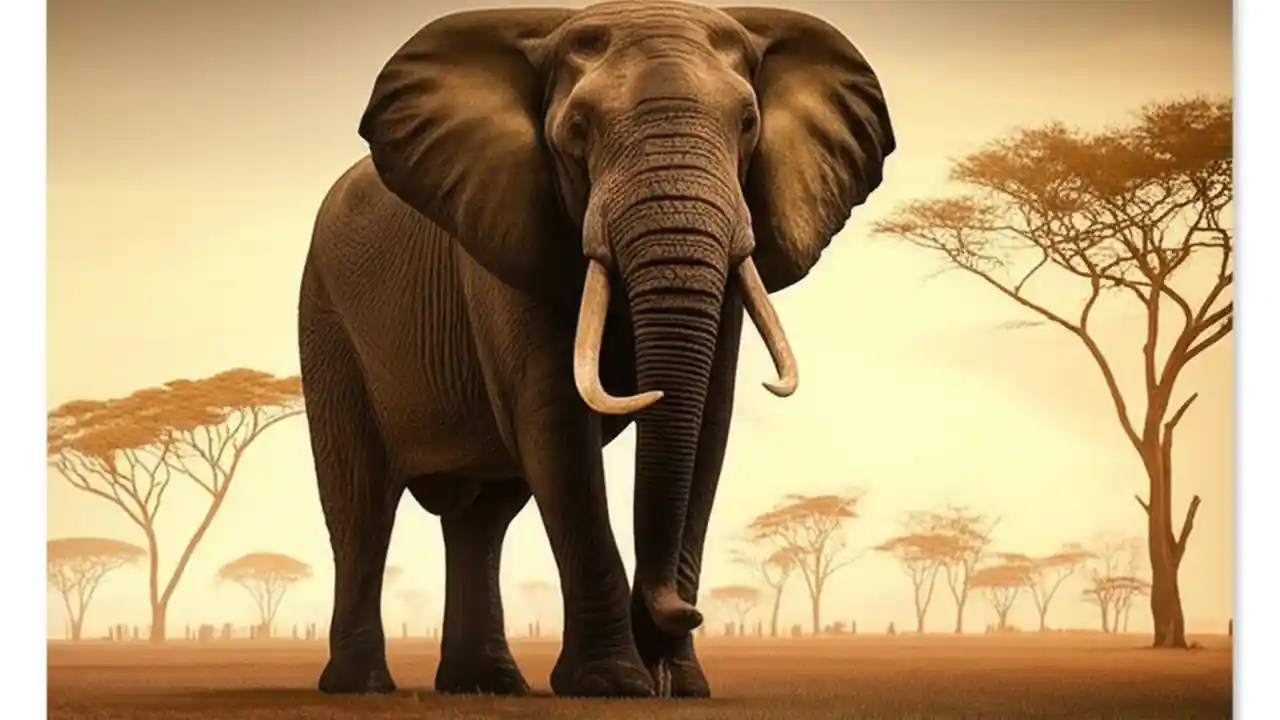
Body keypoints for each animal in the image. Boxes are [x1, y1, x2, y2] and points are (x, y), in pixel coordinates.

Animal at [297, 0, 894, 700]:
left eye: (748, 123)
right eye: (577, 129)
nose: (683, 612)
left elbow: (708, 426)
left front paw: (682, 686)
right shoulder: (505, 241)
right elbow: (556, 424)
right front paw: (614, 683)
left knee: (483, 518)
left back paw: (488, 684)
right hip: (326, 318)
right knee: (360, 506)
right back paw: (360, 685)